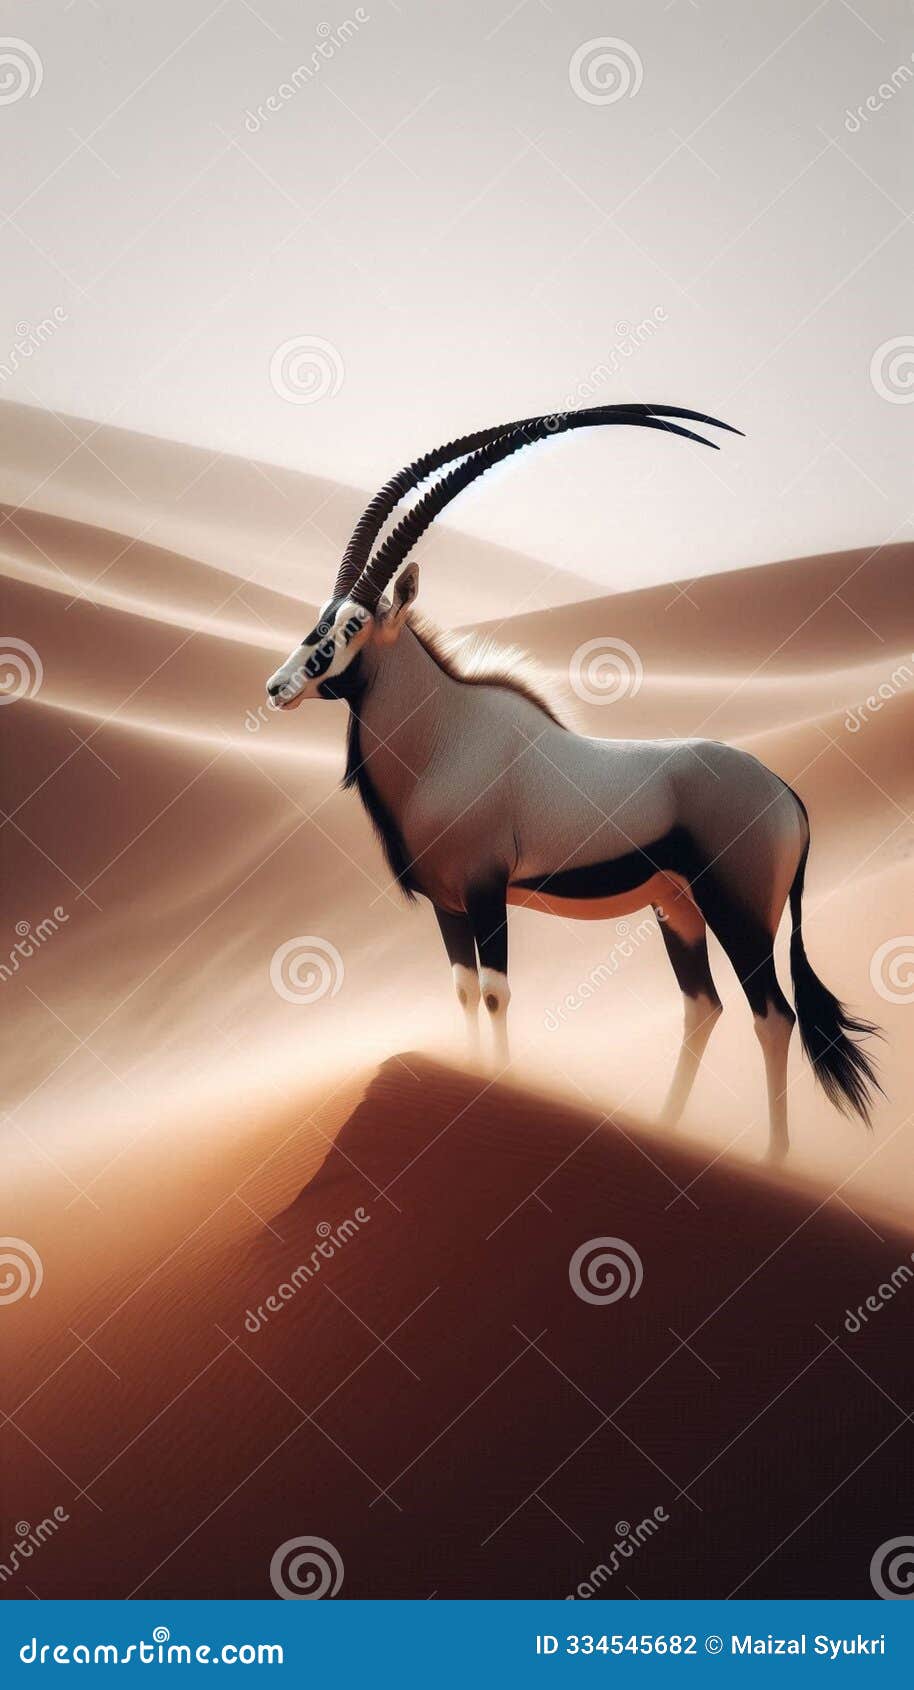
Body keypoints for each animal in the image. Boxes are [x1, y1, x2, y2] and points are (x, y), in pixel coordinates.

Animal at [266, 404, 880, 1159]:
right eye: (320, 617)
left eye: (351, 625)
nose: (277, 688)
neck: (443, 734)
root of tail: (789, 796)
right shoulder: (448, 904)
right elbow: (463, 991)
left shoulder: (485, 890)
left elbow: (496, 992)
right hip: (677, 909)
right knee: (704, 1005)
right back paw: (668, 1126)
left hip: (739, 913)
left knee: (773, 1016)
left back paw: (772, 1157)